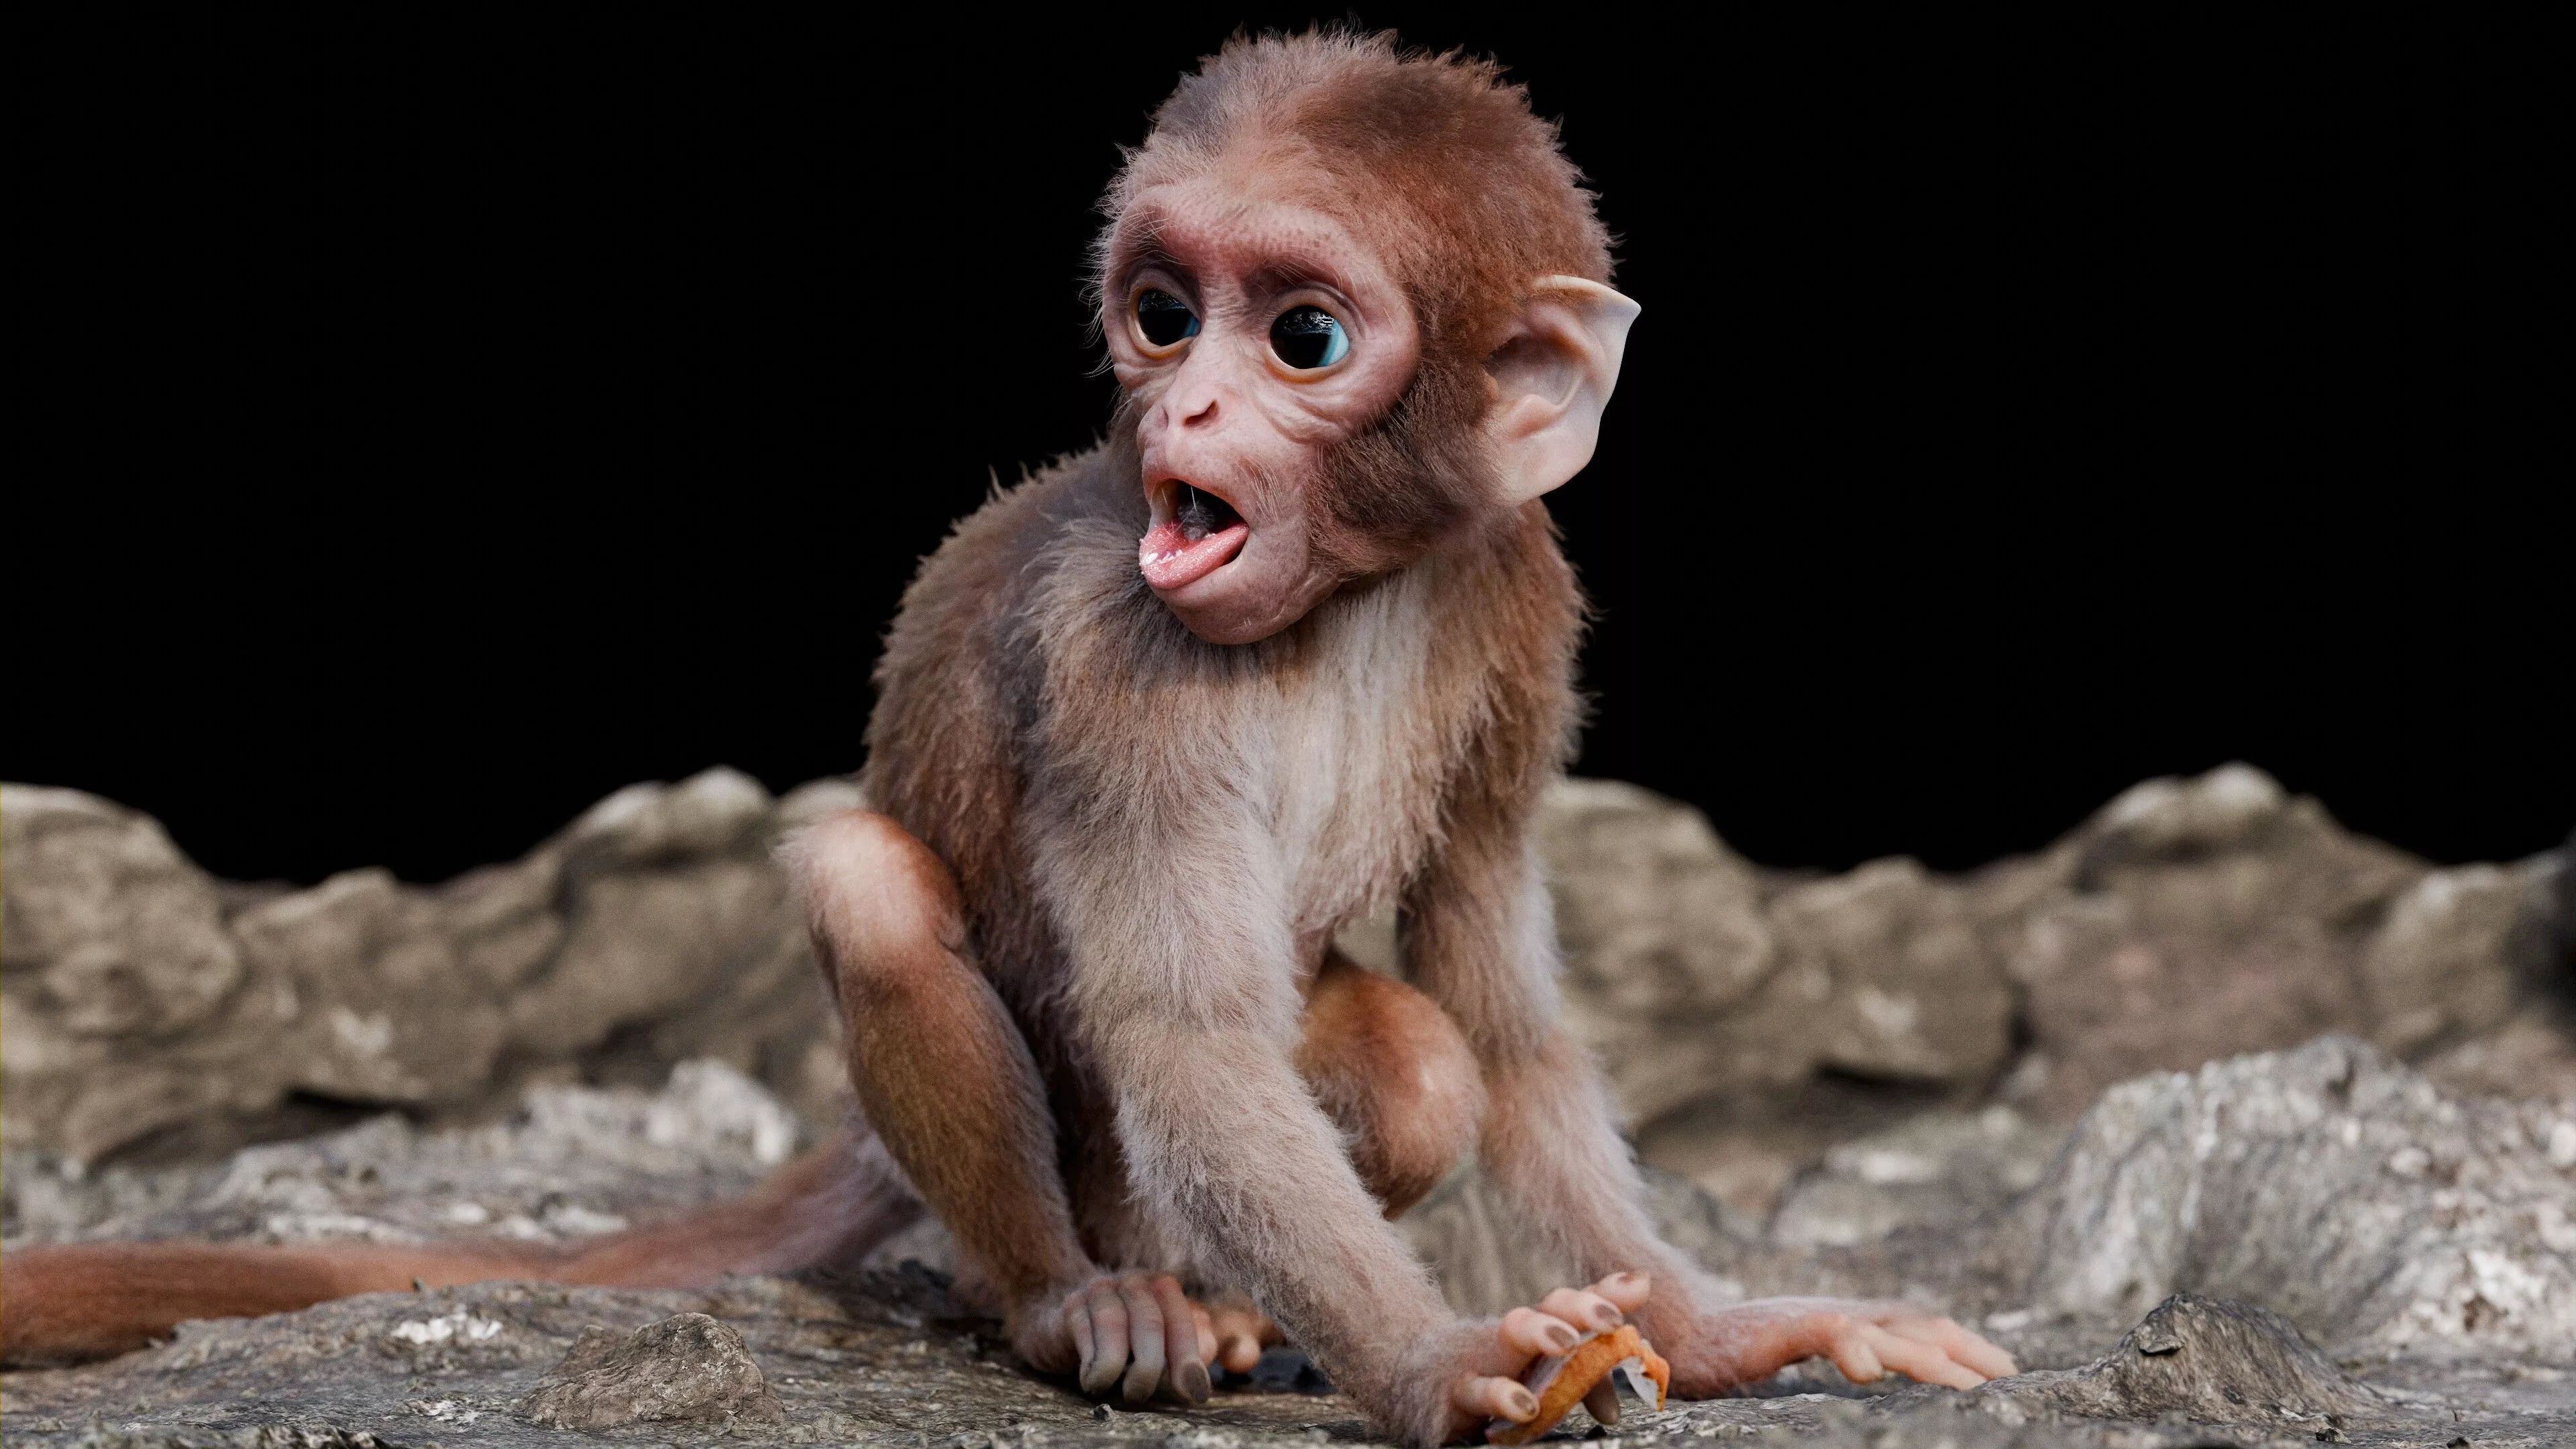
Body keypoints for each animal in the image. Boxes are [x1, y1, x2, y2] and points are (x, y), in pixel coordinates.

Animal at [2, 32, 2015, 1444]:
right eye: (1162, 311)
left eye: (1303, 337)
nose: (1183, 410)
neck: (1354, 595)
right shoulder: (1124, 655)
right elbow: (1191, 1042)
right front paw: (1442, 1362)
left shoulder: (1521, 604)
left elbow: (1500, 1031)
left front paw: (1724, 1328)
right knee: (871, 885)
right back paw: (1076, 1303)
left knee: (1423, 1072)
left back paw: (1224, 1298)